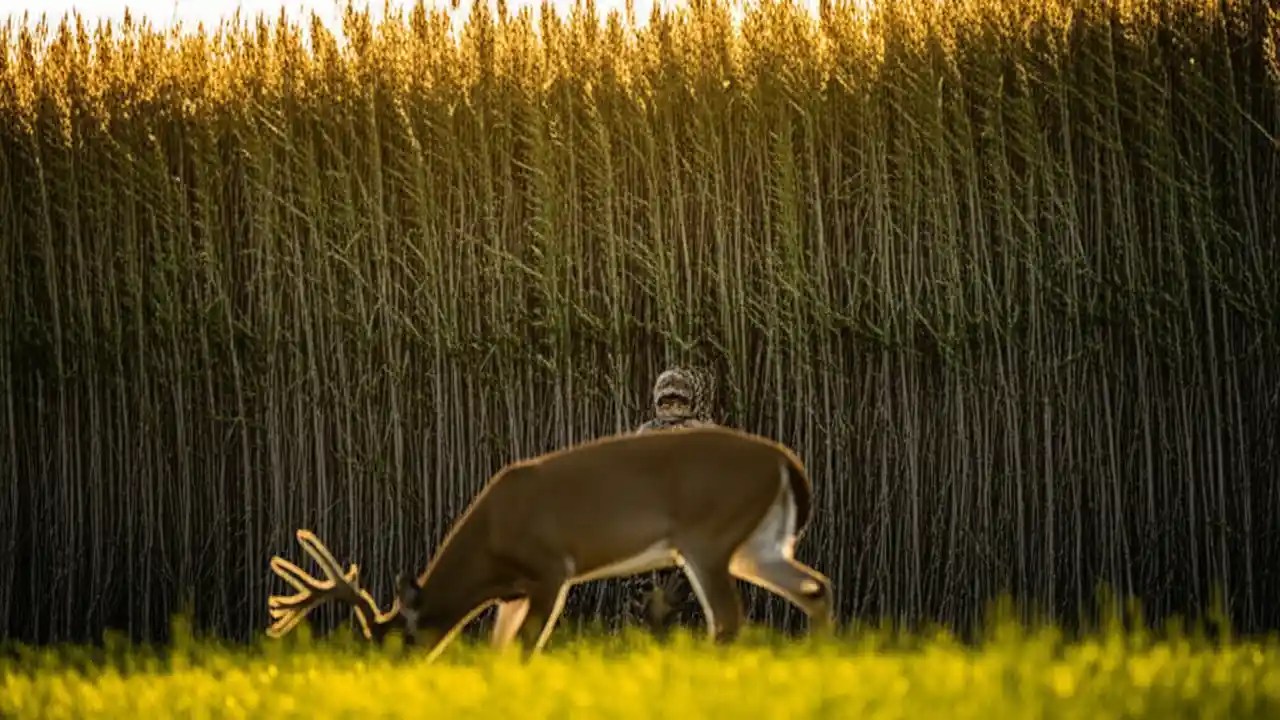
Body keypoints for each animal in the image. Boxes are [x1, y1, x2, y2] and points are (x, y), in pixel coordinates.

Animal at [266, 425, 835, 662]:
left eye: (399, 639)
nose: (386, 675)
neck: (491, 545)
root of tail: (787, 463)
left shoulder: (549, 571)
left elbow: (525, 646)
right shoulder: (512, 593)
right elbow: (498, 647)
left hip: (709, 538)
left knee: (729, 620)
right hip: (755, 547)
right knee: (815, 588)